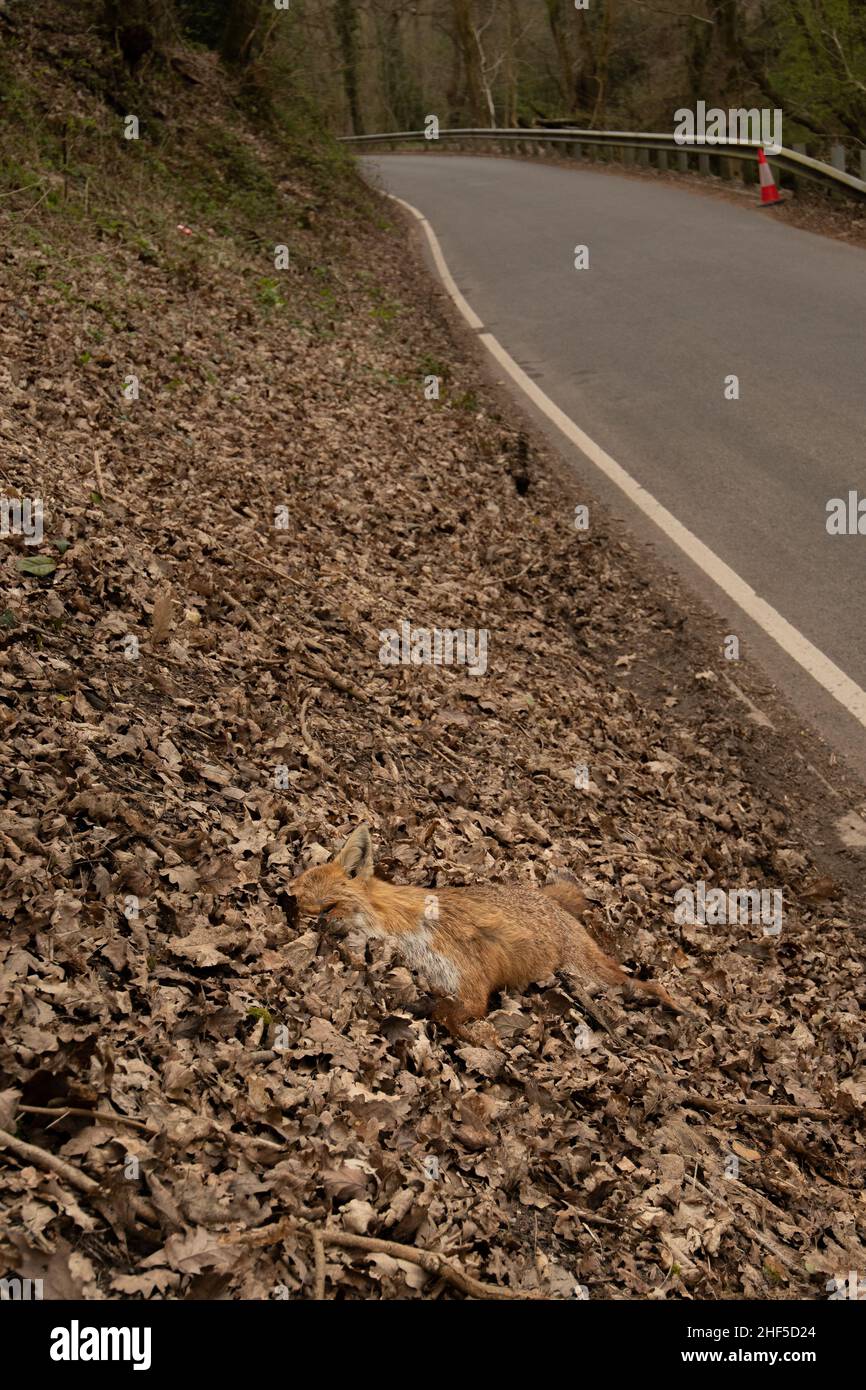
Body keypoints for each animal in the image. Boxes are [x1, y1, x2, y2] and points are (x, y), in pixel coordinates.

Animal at [287, 824, 687, 1041]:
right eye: (295, 900)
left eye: (327, 905)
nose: (302, 921)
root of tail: (547, 899)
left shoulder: (470, 981)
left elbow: (448, 1013)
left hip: (592, 972)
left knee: (648, 984)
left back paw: (677, 1007)